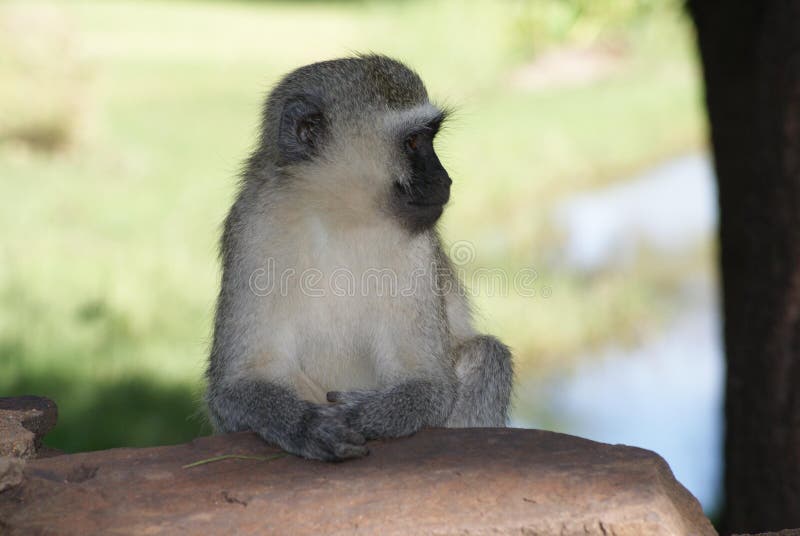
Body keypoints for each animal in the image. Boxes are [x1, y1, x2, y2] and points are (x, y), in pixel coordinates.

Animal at [205, 54, 513, 462]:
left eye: (430, 137)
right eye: (413, 142)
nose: (445, 179)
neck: (339, 216)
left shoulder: (419, 249)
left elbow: (429, 384)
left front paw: (360, 417)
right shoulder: (252, 228)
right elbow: (235, 387)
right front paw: (308, 427)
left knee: (488, 355)